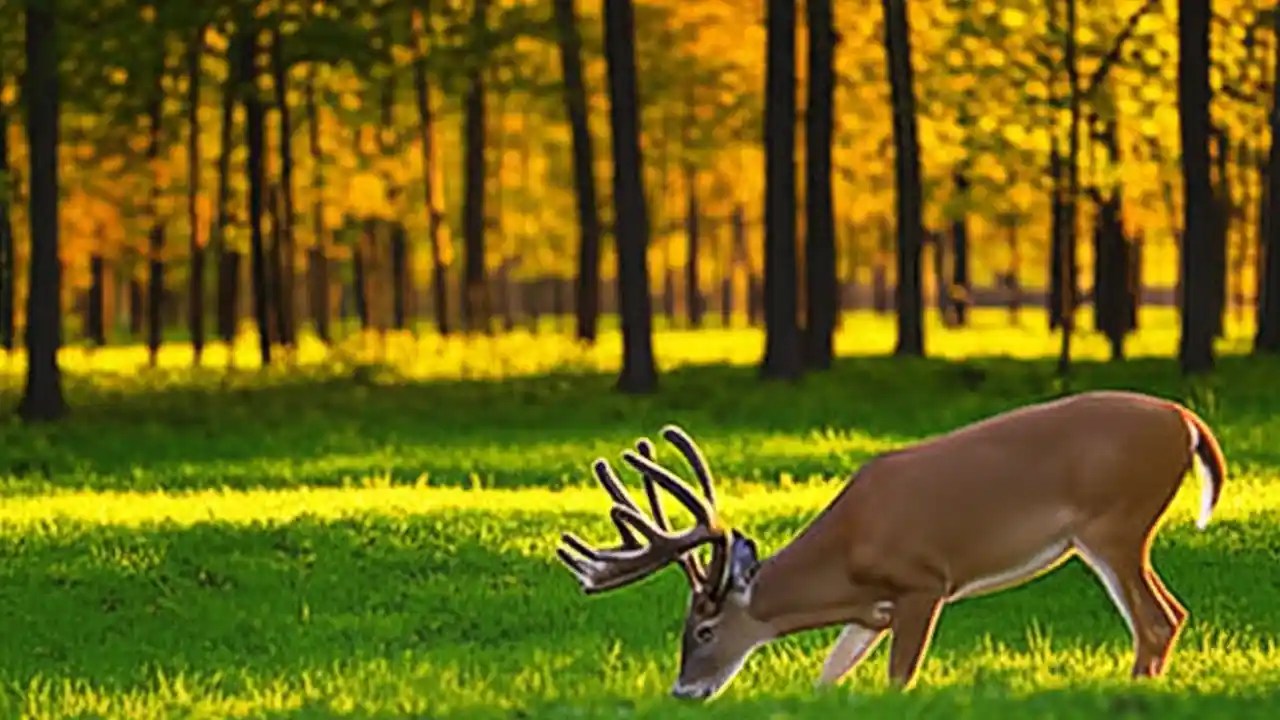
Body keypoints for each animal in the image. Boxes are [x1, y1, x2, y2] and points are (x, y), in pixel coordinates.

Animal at [554, 390, 1227, 701]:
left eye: (703, 630)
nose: (683, 692)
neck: (847, 560)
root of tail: (1186, 419)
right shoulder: (870, 614)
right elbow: (829, 676)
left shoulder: (924, 582)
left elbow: (899, 679)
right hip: (1121, 532)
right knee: (1170, 613)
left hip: (1117, 524)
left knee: (1157, 619)